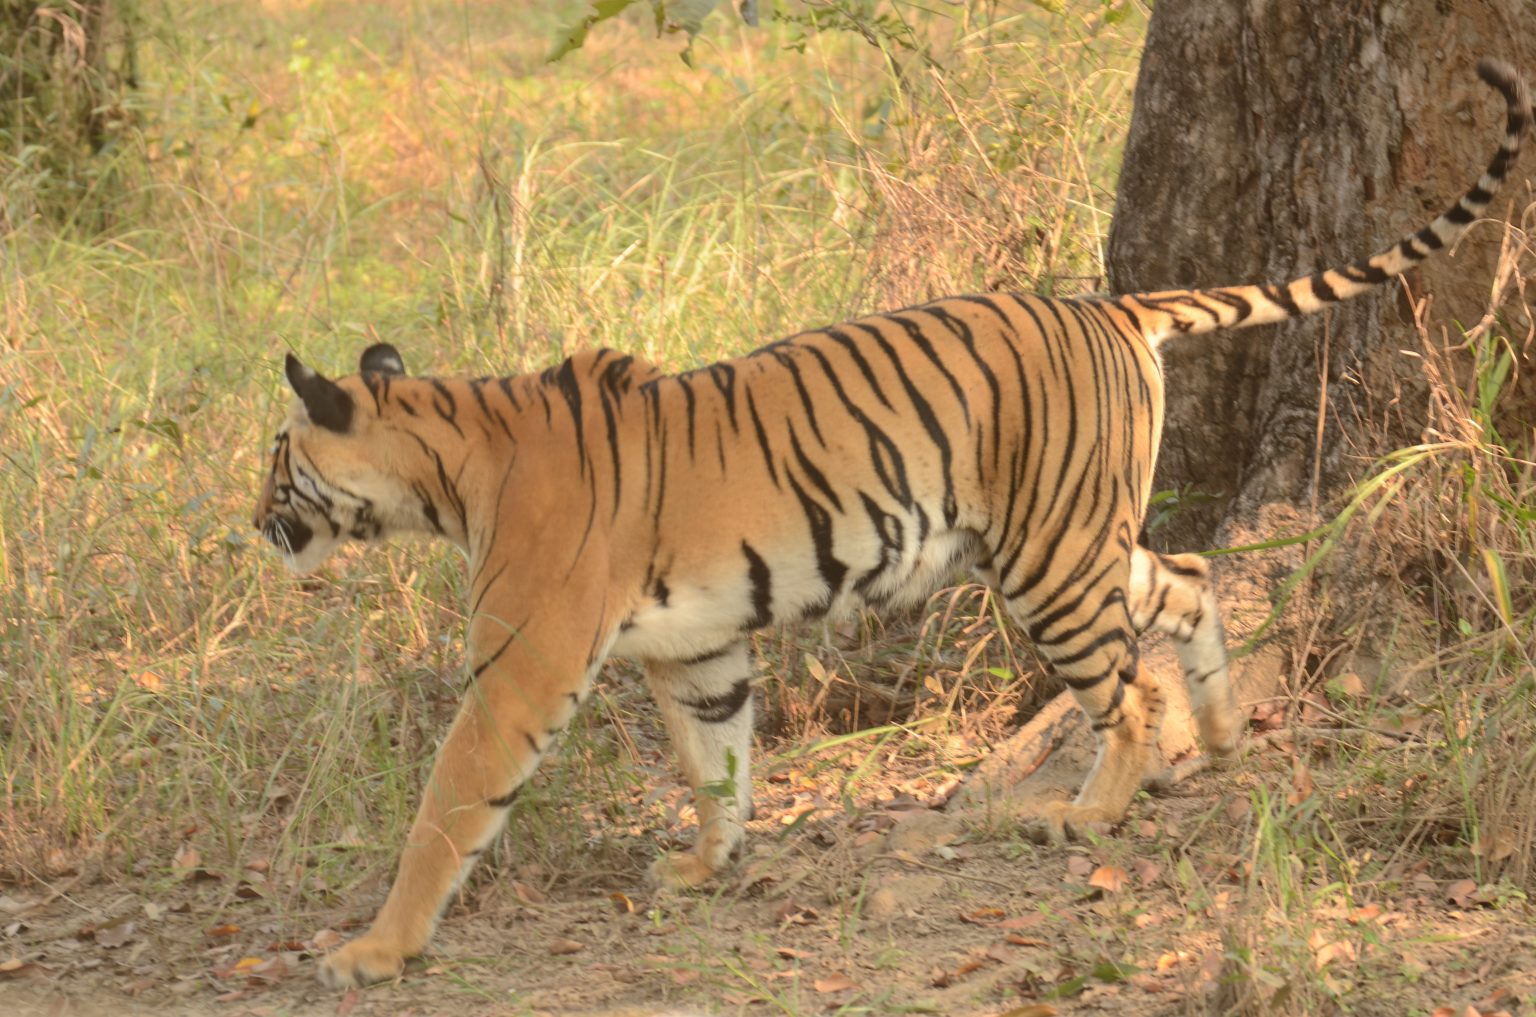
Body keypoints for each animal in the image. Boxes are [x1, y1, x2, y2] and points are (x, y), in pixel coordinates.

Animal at [253, 60, 1530, 988]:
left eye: (278, 464)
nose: (254, 526)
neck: (447, 459)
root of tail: (1112, 307)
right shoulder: (697, 651)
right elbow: (717, 763)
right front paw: (706, 868)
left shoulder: (524, 664)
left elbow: (447, 809)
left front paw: (373, 950)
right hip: (1081, 537)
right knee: (1191, 572)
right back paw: (1216, 741)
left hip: (1048, 560)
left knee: (1124, 689)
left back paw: (1089, 814)